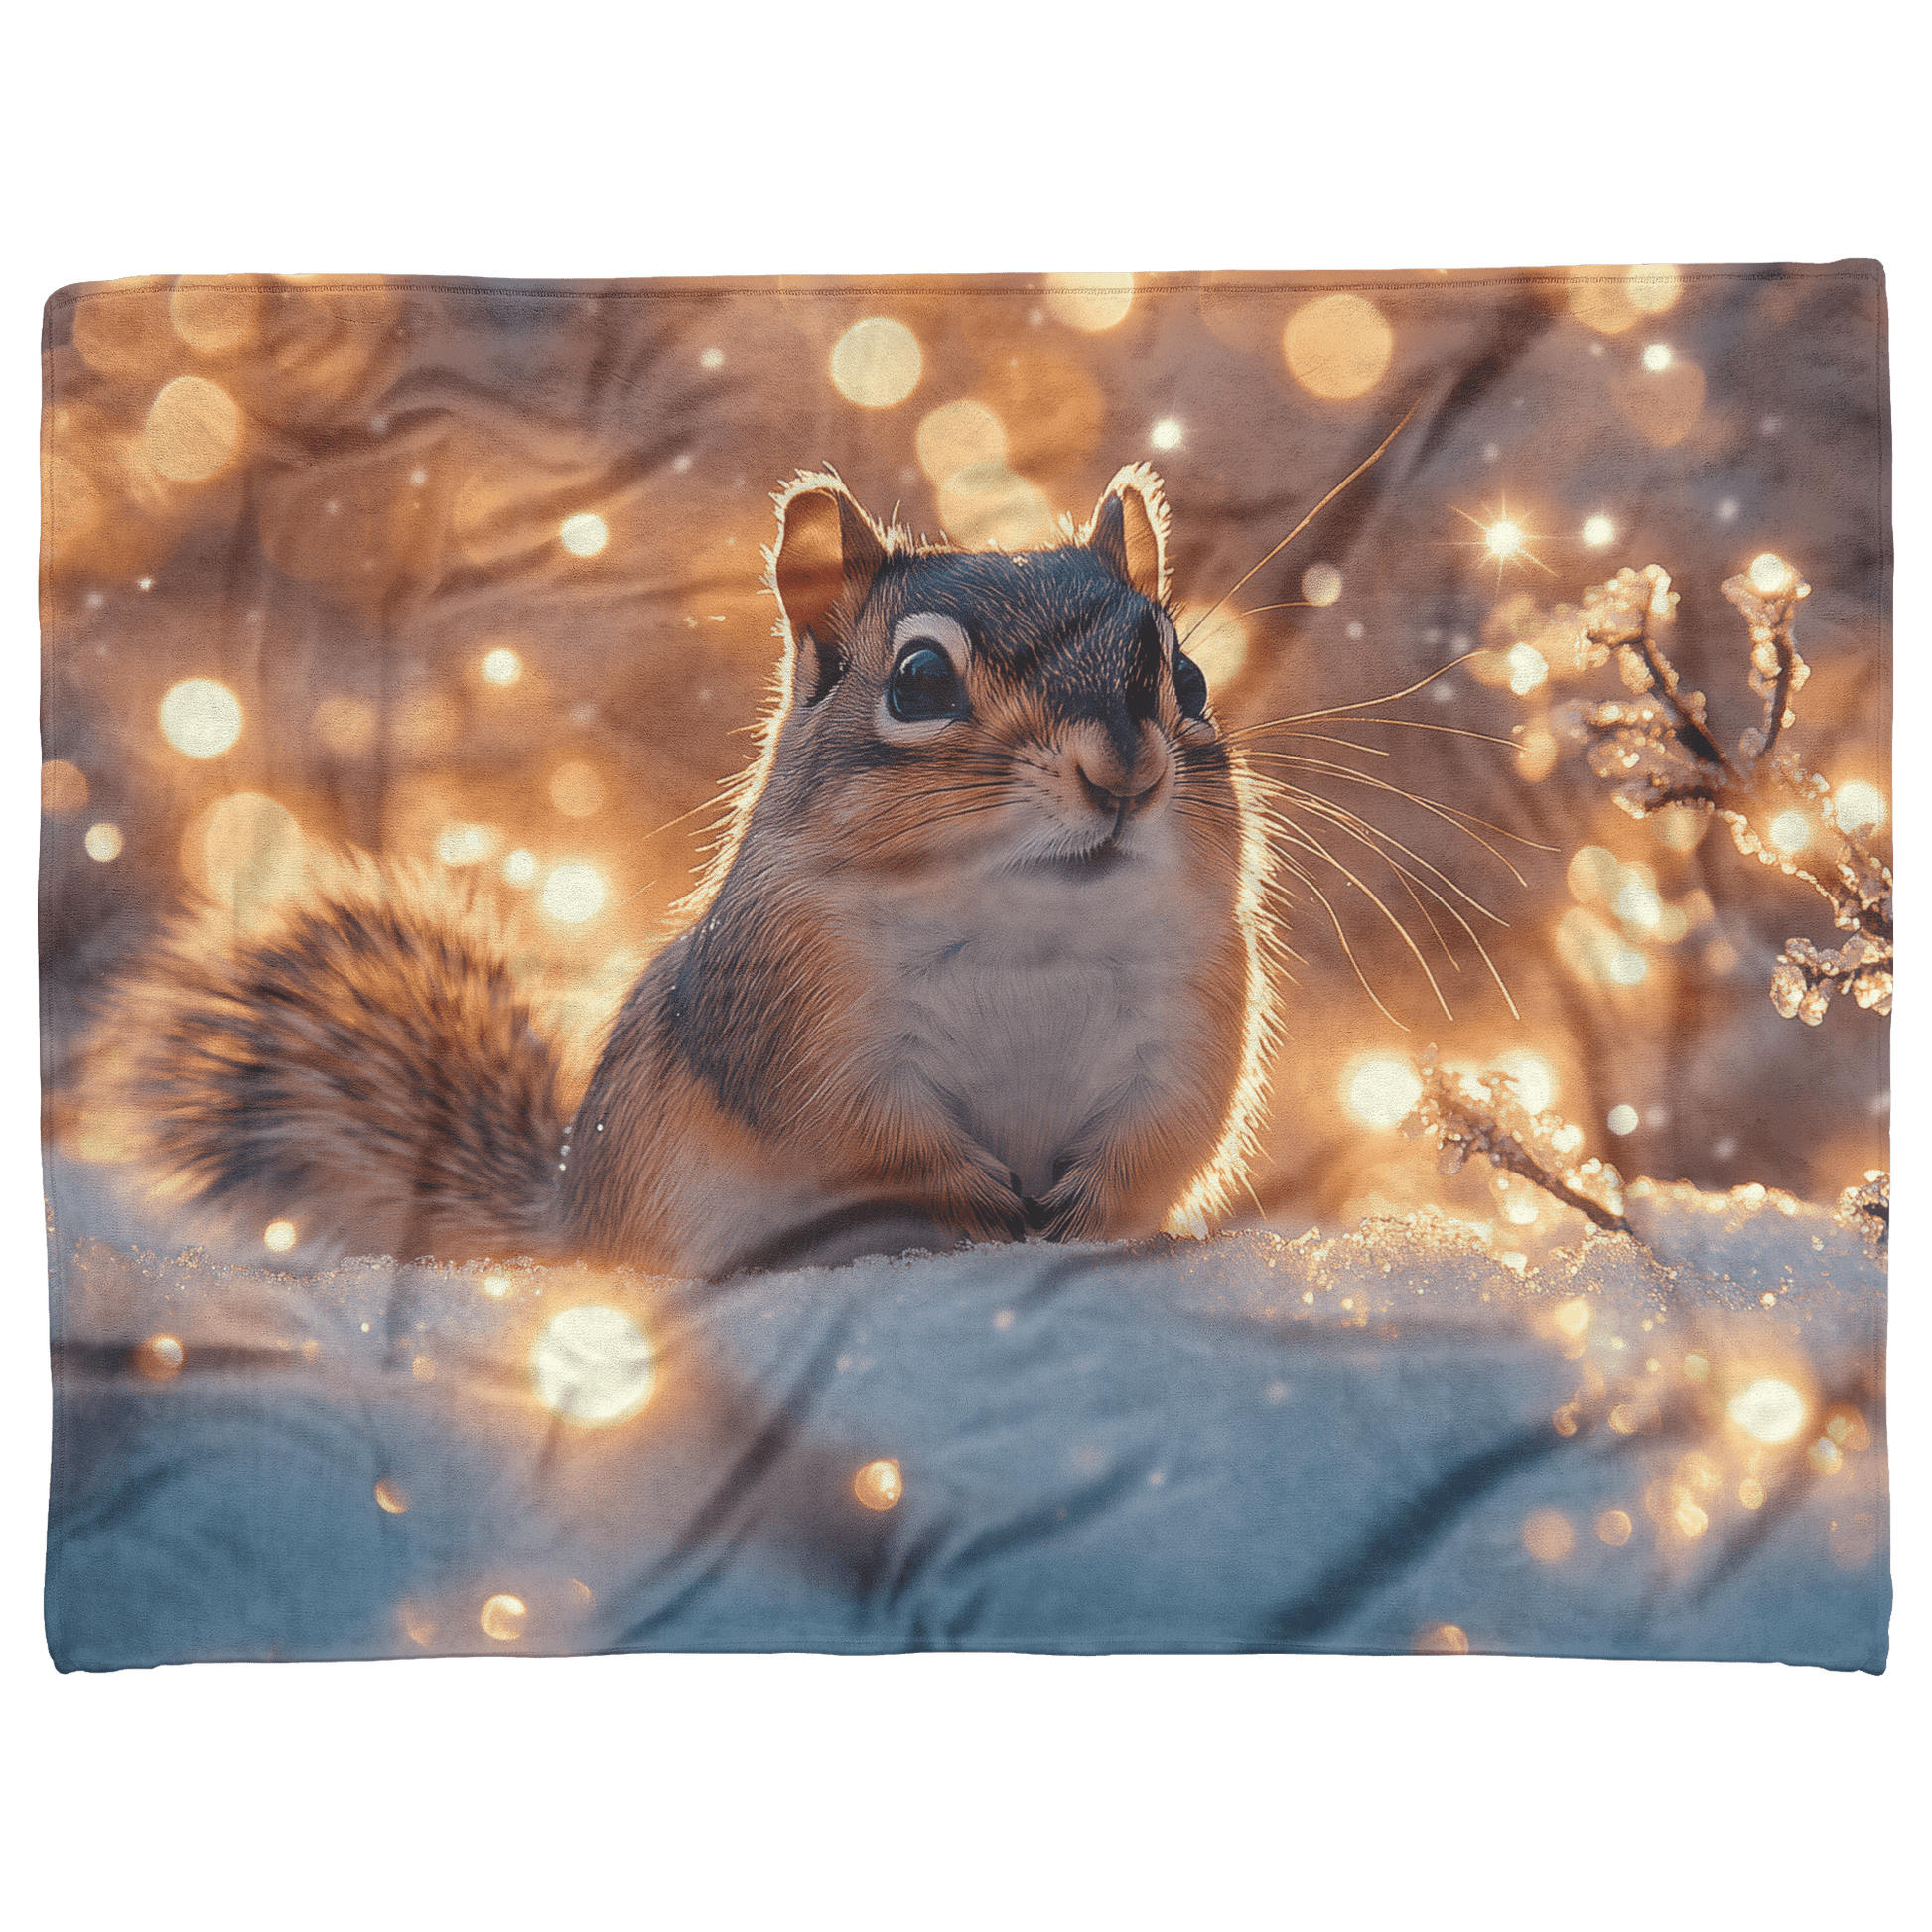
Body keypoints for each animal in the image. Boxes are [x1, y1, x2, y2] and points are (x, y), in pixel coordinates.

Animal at [112, 465, 1280, 1280]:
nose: (1124, 771)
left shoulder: (1192, 1014)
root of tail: (564, 1224)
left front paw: (1090, 1212)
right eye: (919, 679)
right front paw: (975, 1200)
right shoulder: (791, 1020)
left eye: (1186, 677)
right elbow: (861, 1136)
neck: (1034, 926)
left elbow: (1171, 1130)